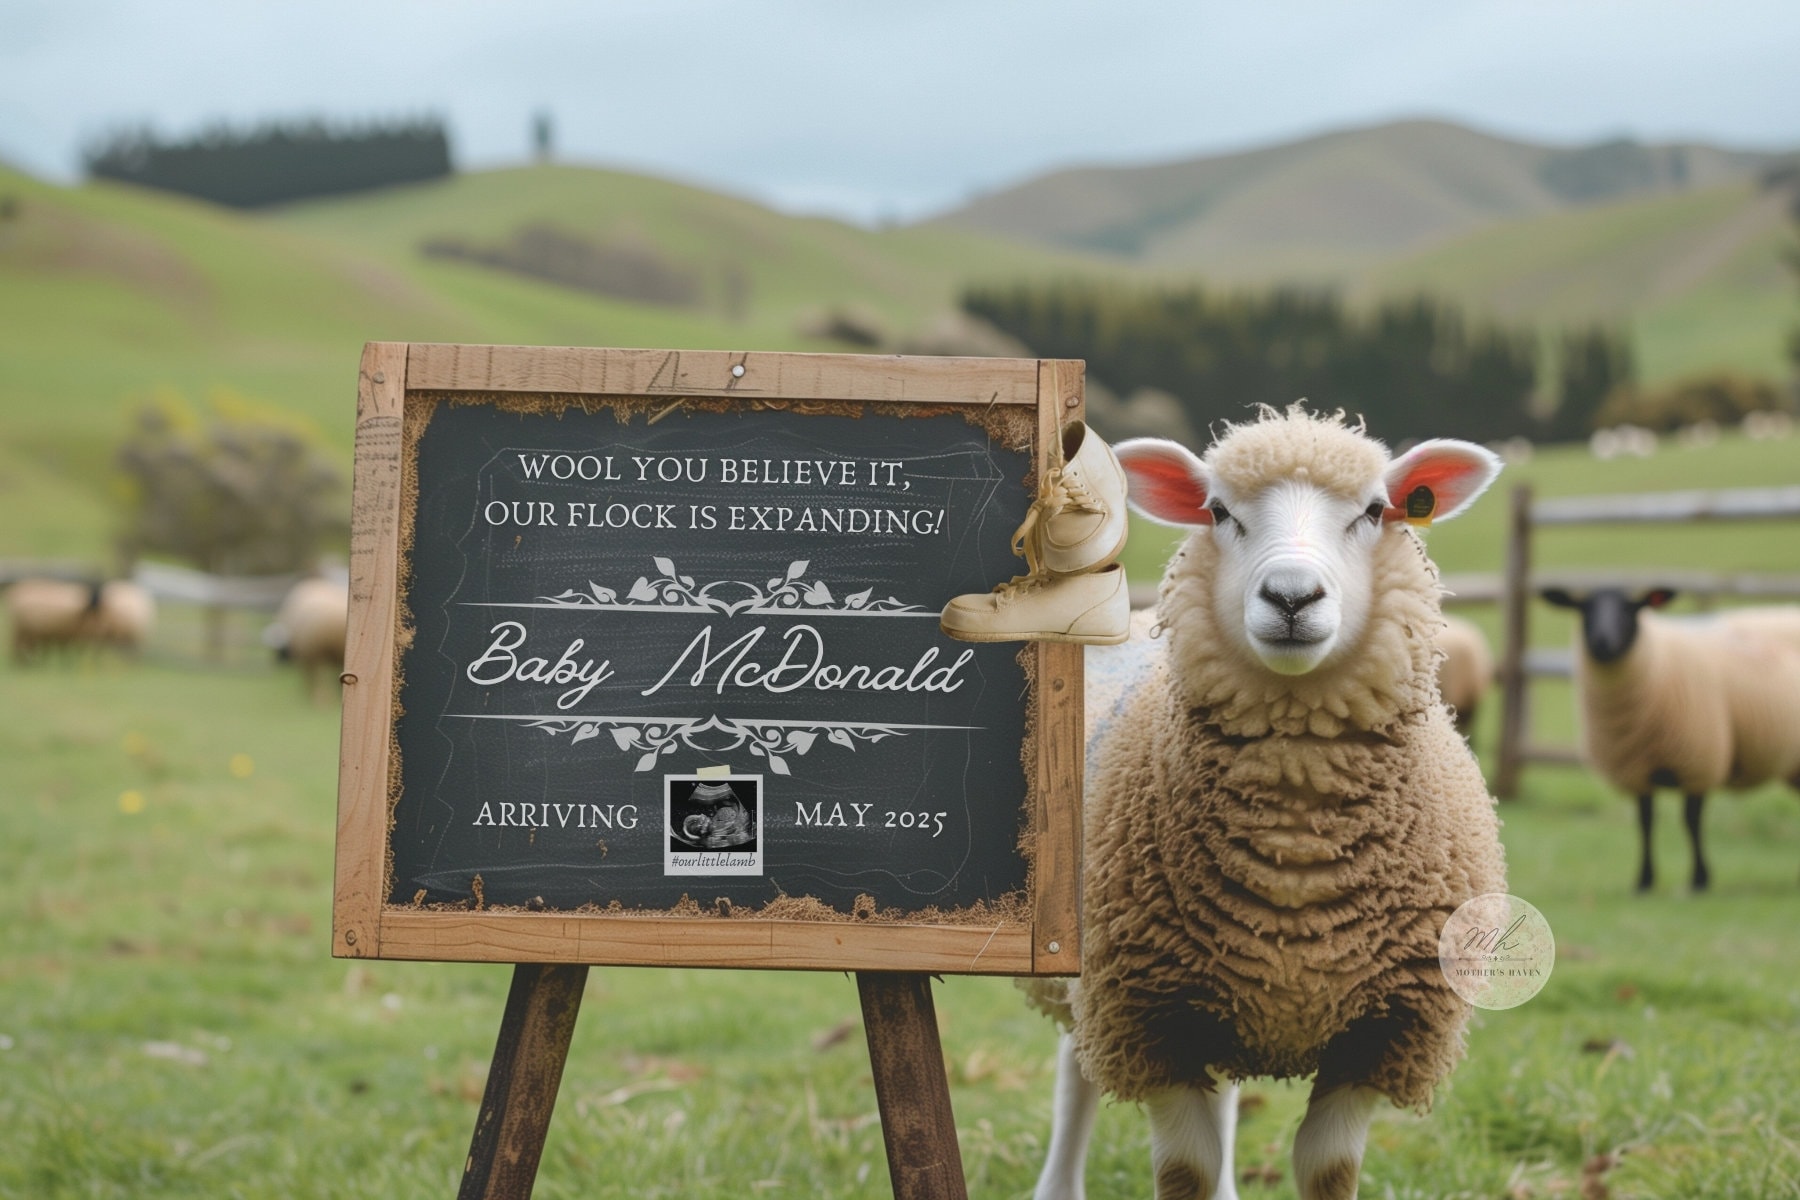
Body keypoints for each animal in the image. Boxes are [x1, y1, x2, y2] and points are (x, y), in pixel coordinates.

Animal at [1021, 406, 1505, 1200]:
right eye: (1219, 511)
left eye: (1376, 511)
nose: (1290, 596)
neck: (1295, 847)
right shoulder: (1148, 1015)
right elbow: (1184, 1170)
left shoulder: (1384, 1030)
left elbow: (1327, 1170)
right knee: (1076, 1081)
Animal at [1540, 587, 1800, 892]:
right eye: (1584, 608)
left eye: (1630, 608)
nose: (1603, 642)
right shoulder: (1637, 770)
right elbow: (1645, 821)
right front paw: (1644, 880)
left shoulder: (1700, 762)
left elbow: (1691, 821)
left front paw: (1699, 879)